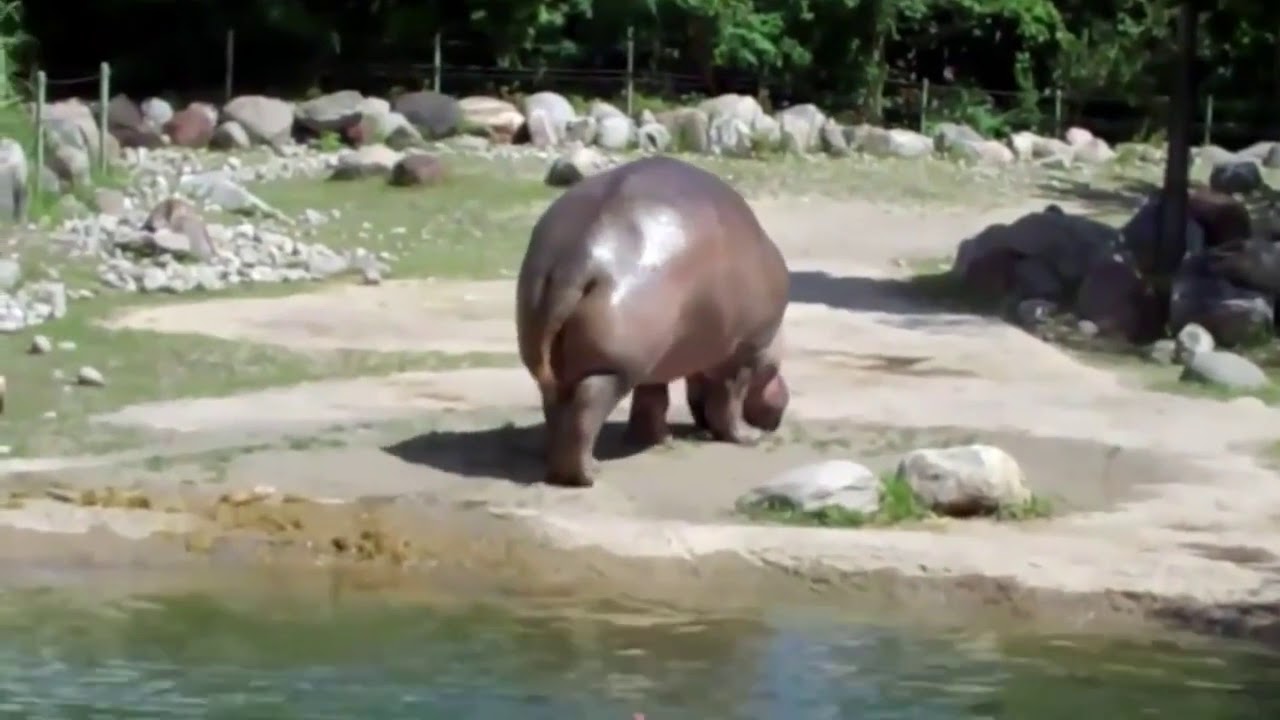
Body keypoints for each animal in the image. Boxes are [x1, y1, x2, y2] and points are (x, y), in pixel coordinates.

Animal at [515, 155, 790, 487]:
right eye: (775, 370)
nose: (781, 409)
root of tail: (580, 255)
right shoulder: (745, 351)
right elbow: (729, 400)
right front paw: (748, 437)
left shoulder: (660, 360)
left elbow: (652, 400)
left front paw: (658, 440)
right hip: (614, 366)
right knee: (586, 408)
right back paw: (589, 473)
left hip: (563, 357)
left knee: (557, 407)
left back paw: (557, 463)